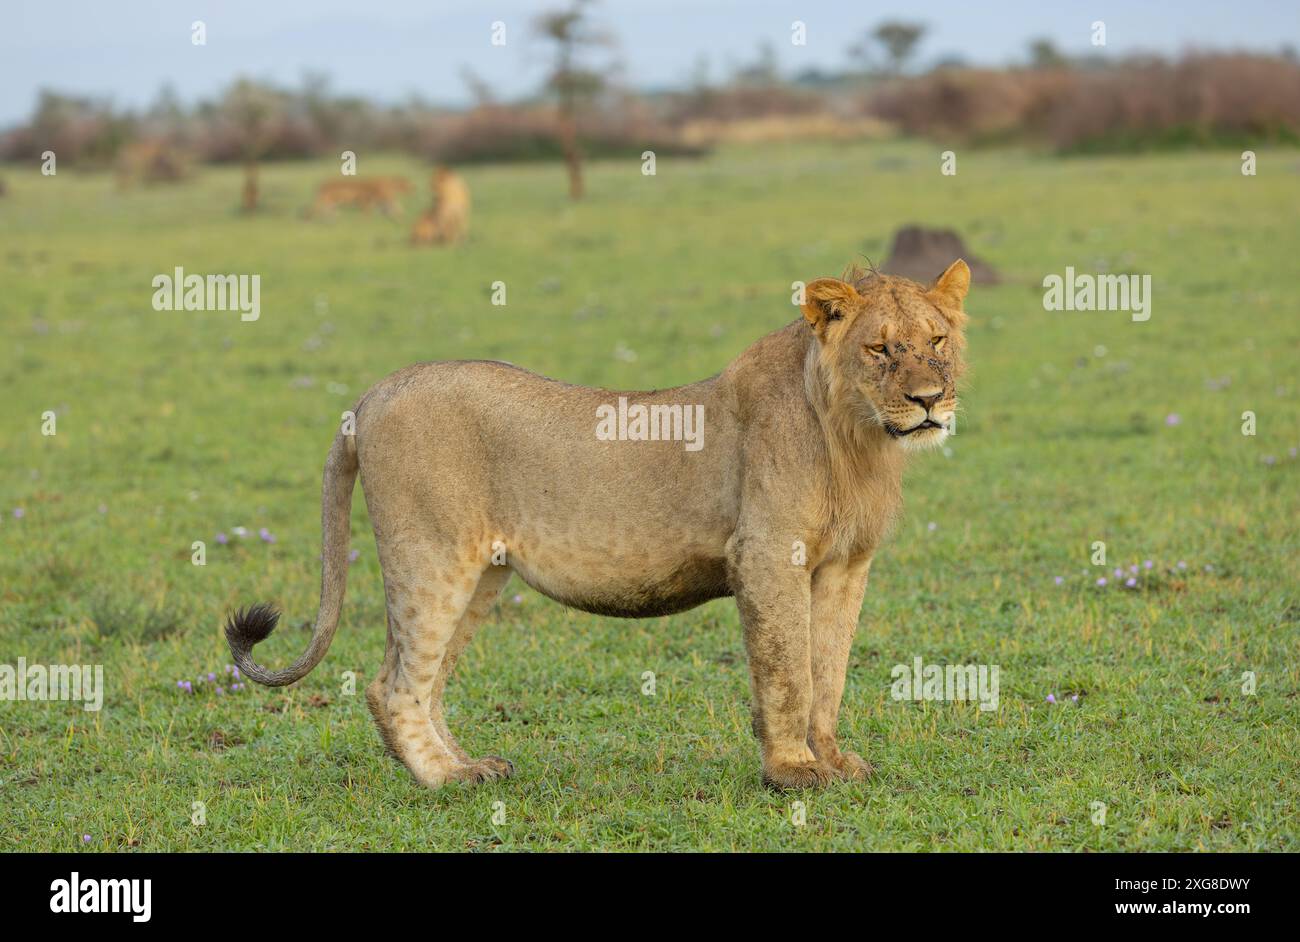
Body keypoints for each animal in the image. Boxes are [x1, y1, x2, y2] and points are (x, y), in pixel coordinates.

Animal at [225, 259, 971, 790]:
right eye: (880, 349)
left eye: (937, 341)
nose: (930, 400)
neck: (855, 438)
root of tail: (373, 394)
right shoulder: (766, 555)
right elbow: (787, 669)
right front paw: (792, 772)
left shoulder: (845, 566)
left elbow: (829, 670)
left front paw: (837, 761)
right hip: (431, 557)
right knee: (394, 684)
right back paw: (442, 779)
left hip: (479, 574)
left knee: (423, 679)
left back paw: (471, 766)